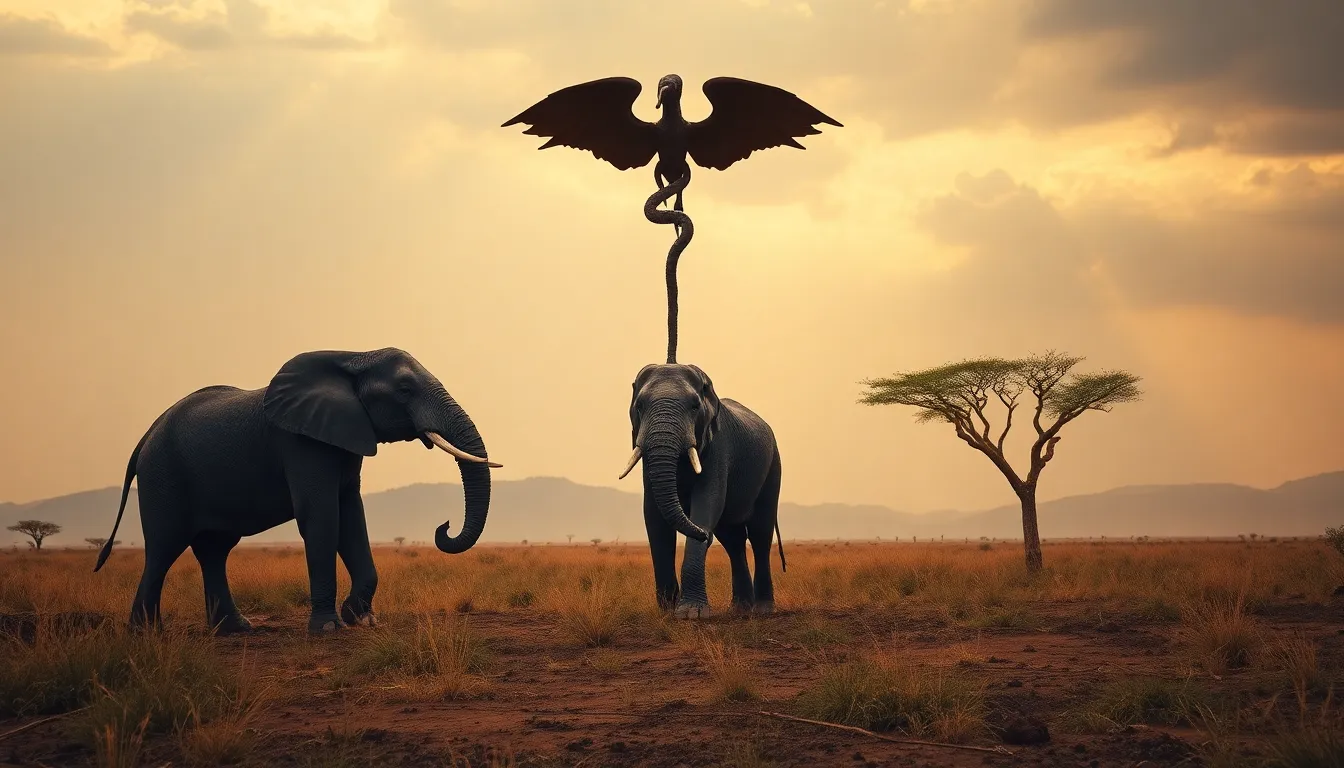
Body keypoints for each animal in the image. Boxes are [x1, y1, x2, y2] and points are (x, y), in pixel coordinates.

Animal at [93, 348, 501, 635]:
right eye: (404, 389)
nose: (443, 527)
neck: (354, 356)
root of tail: (146, 436)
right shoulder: (301, 443)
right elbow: (322, 517)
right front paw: (328, 628)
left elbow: (351, 516)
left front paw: (362, 620)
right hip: (164, 476)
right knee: (164, 548)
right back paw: (146, 634)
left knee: (214, 550)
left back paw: (235, 630)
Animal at [619, 363, 785, 618]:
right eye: (639, 406)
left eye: (695, 407)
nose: (703, 534)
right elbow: (654, 517)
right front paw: (667, 612)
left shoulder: (718, 446)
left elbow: (707, 504)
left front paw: (690, 614)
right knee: (732, 539)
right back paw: (739, 609)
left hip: (773, 466)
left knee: (759, 534)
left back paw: (764, 609)